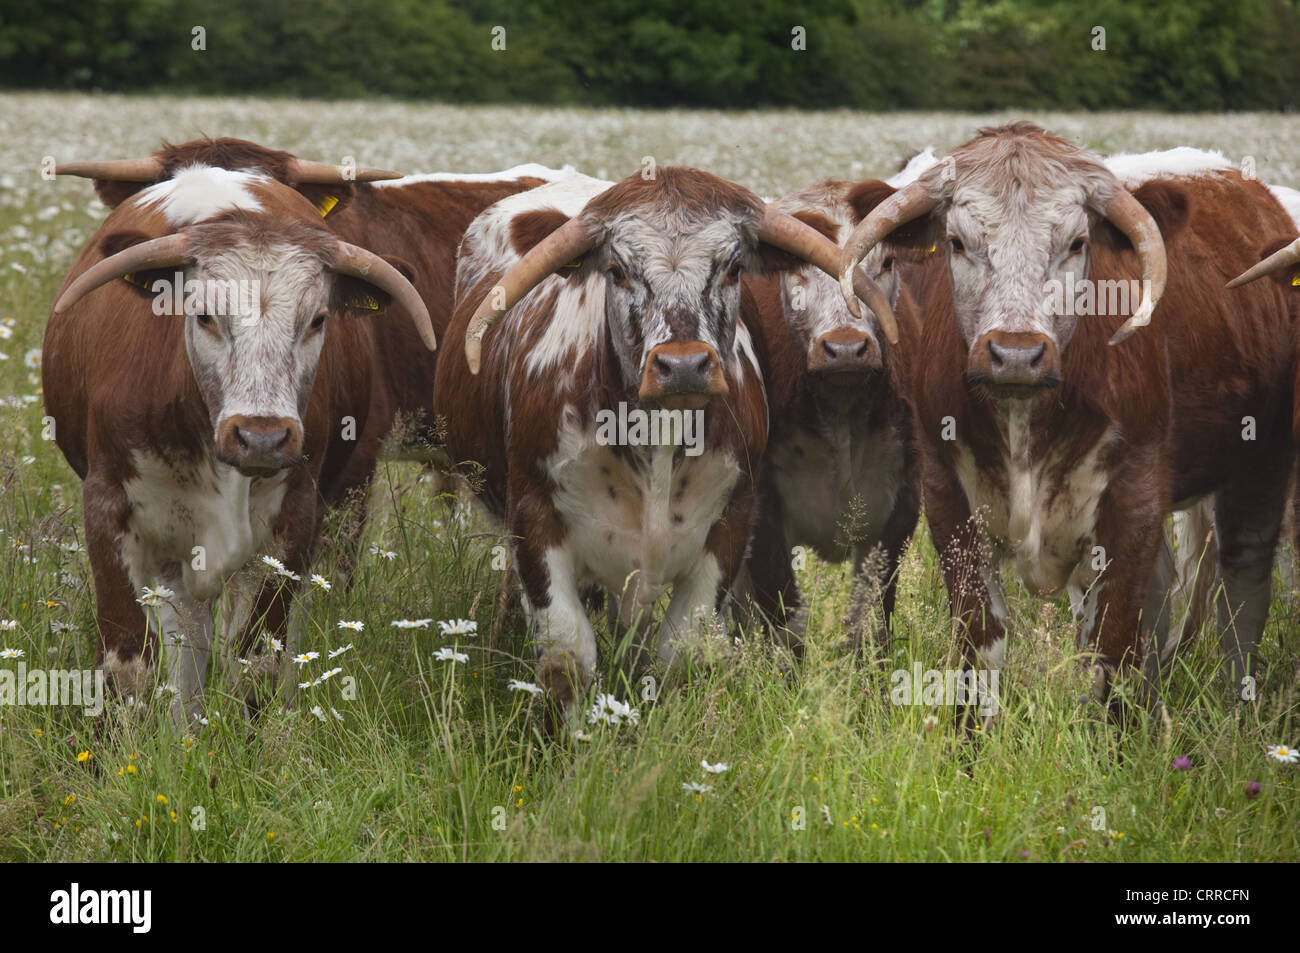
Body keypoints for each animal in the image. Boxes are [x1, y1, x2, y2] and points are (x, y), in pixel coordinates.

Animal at [44, 161, 433, 724]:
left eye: (318, 320)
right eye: (204, 314)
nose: (262, 438)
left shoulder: (292, 524)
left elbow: (259, 665)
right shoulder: (107, 508)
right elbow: (127, 666)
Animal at [434, 166, 896, 728]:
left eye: (733, 267)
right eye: (616, 270)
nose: (682, 365)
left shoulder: (732, 523)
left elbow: (683, 650)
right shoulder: (534, 520)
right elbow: (566, 657)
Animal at [836, 122, 1297, 722]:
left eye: (1077, 244)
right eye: (957, 242)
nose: (1015, 354)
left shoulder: (1133, 499)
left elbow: (1113, 648)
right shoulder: (947, 500)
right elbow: (978, 648)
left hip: (1261, 465)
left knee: (1243, 588)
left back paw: (1238, 711)